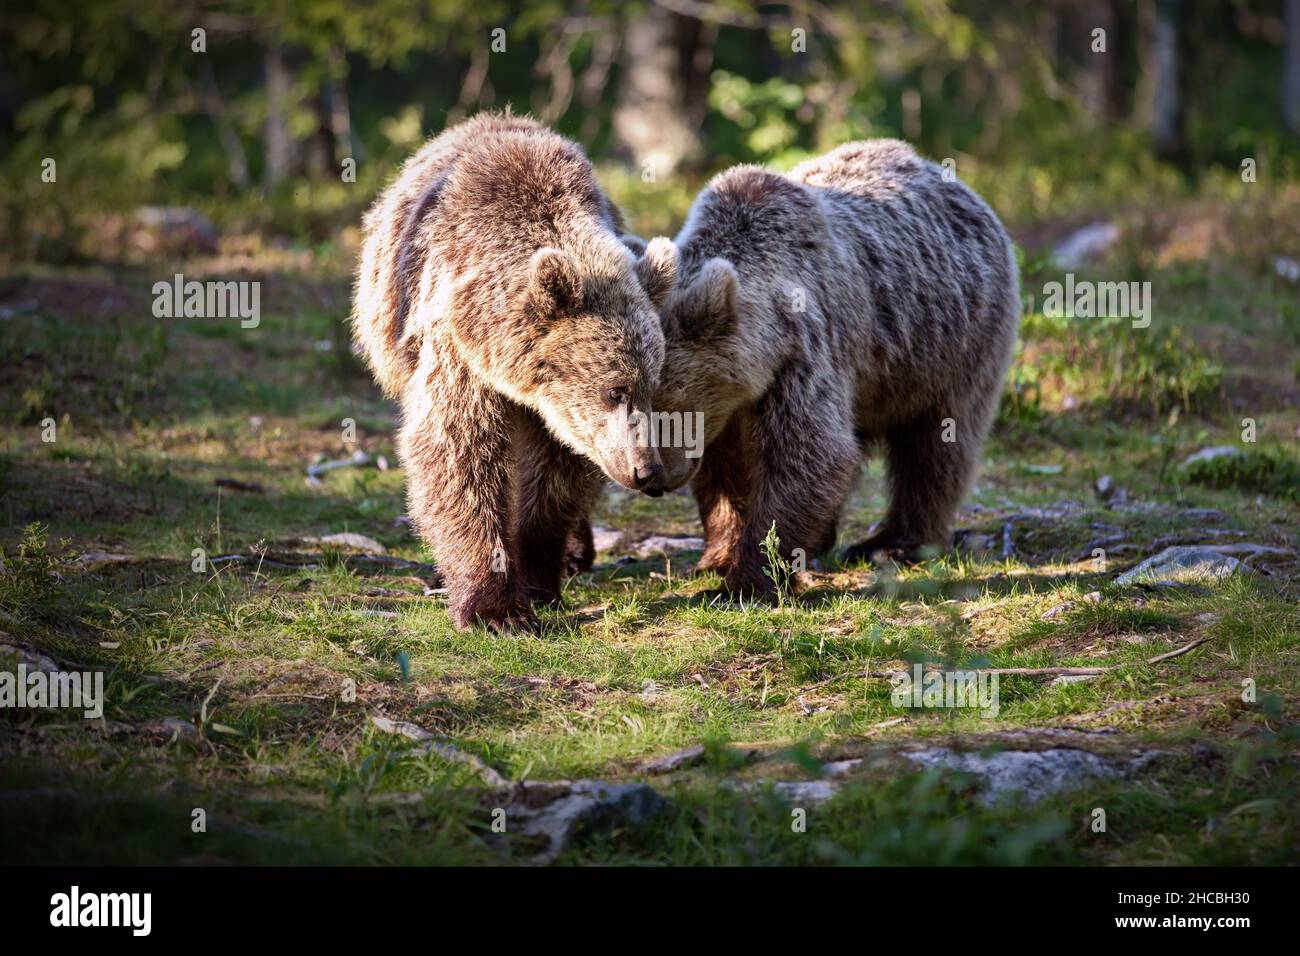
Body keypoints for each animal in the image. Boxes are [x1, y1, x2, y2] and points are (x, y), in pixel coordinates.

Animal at [352, 112, 679, 633]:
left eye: (652, 386)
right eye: (615, 389)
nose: (649, 470)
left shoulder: (561, 413)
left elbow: (557, 469)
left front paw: (539, 575)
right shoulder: (453, 346)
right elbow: (457, 452)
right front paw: (497, 608)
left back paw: (576, 550)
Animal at [651, 139, 1020, 596]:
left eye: (668, 407)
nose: (655, 480)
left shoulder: (802, 354)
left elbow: (812, 455)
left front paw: (746, 580)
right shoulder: (730, 400)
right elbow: (726, 471)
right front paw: (716, 557)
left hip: (952, 344)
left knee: (936, 447)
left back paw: (892, 543)